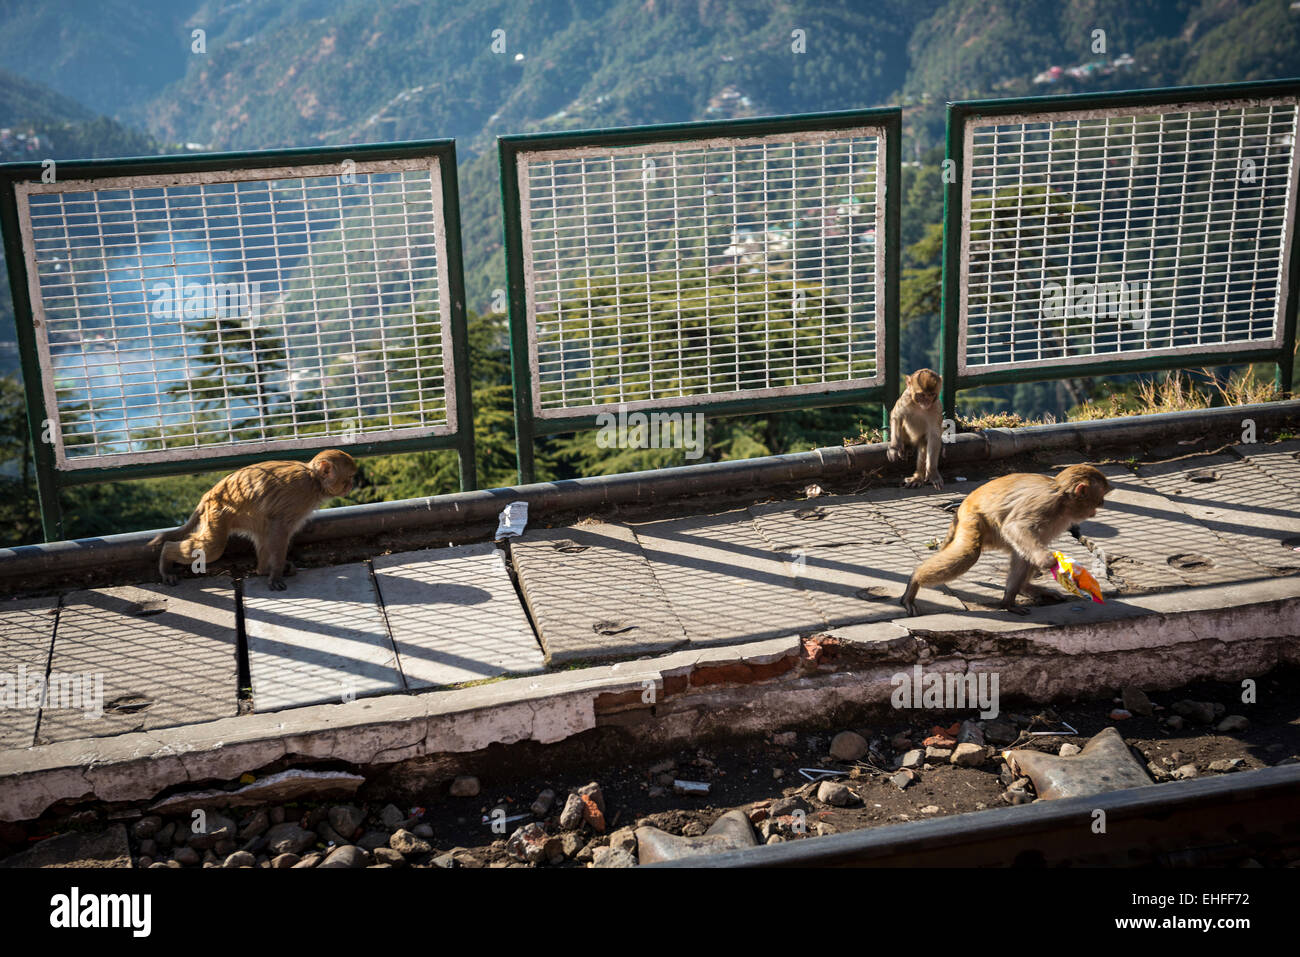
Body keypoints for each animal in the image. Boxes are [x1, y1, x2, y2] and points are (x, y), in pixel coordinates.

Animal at [150, 449, 358, 591]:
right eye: (348, 478)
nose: (351, 485)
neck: (314, 479)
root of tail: (208, 496)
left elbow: (272, 528)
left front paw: (271, 571)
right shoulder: (299, 495)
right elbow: (279, 527)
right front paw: (275, 574)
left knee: (261, 527)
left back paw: (262, 570)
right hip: (218, 513)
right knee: (212, 548)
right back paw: (166, 557)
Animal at [899, 464, 1111, 617]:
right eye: (1099, 497)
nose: (1101, 504)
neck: (1064, 501)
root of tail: (965, 502)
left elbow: (1023, 550)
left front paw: (1011, 598)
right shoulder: (1046, 503)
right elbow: (1015, 527)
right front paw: (1048, 560)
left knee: (1021, 551)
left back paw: (1017, 595)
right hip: (972, 517)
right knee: (970, 553)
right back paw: (915, 581)